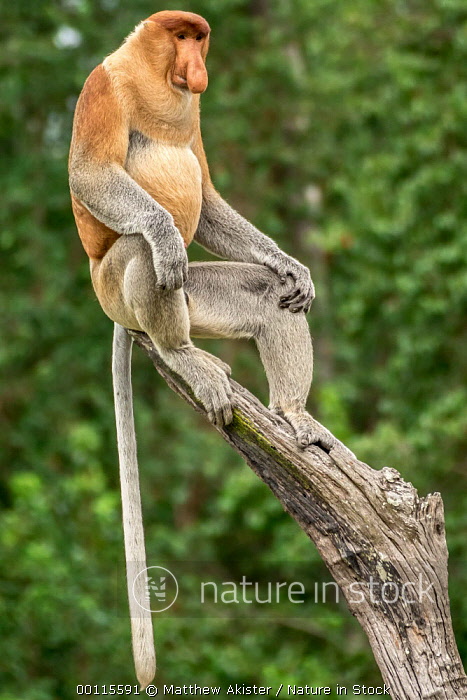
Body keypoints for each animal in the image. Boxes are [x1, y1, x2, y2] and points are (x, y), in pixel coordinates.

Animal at [69, 10, 352, 688]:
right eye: (182, 36)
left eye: (200, 38)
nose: (197, 67)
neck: (149, 74)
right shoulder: (102, 86)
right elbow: (91, 172)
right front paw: (167, 231)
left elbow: (210, 189)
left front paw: (292, 267)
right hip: (117, 286)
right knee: (147, 253)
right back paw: (184, 355)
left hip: (197, 296)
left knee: (267, 298)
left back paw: (295, 416)